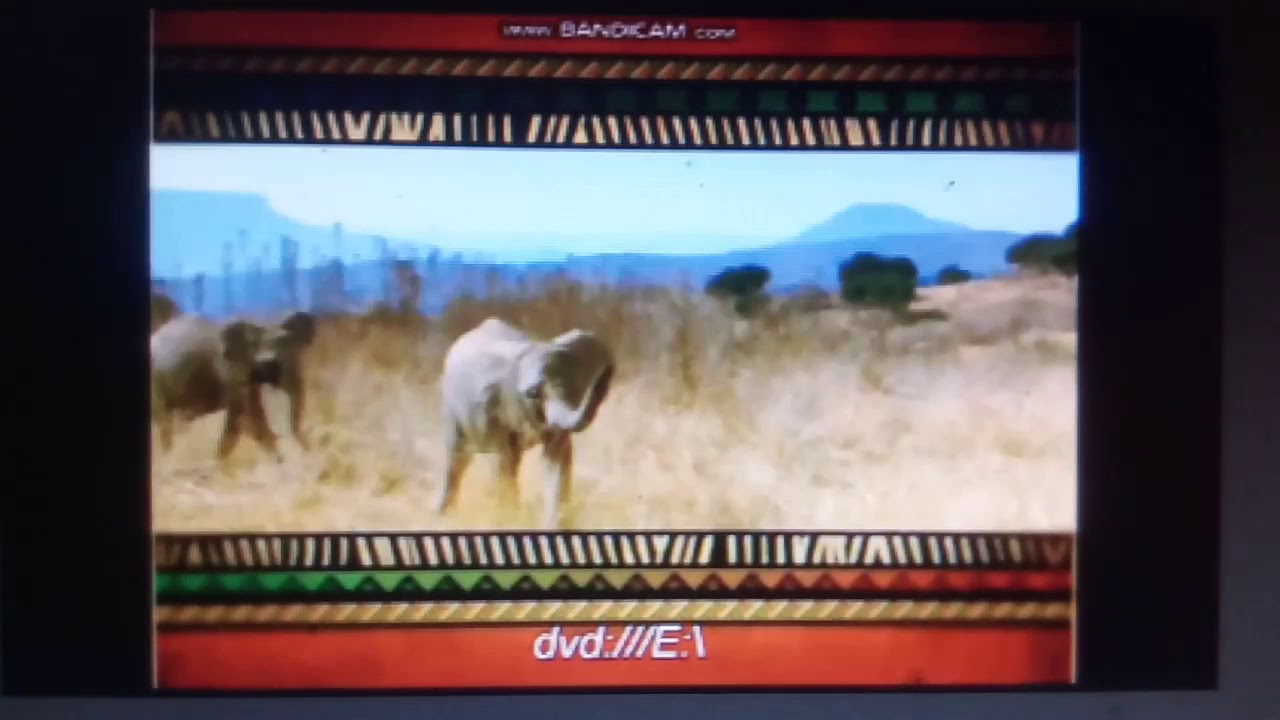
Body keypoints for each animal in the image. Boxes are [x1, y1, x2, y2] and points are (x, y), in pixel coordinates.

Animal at [150, 311, 316, 461]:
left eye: (286, 340)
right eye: (254, 344)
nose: (308, 450)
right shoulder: (229, 372)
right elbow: (244, 415)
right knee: (164, 420)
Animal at [437, 317, 615, 529]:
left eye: (578, 388)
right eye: (534, 393)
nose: (606, 373)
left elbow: (557, 458)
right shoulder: (495, 409)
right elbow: (504, 463)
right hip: (451, 409)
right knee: (457, 459)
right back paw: (443, 517)